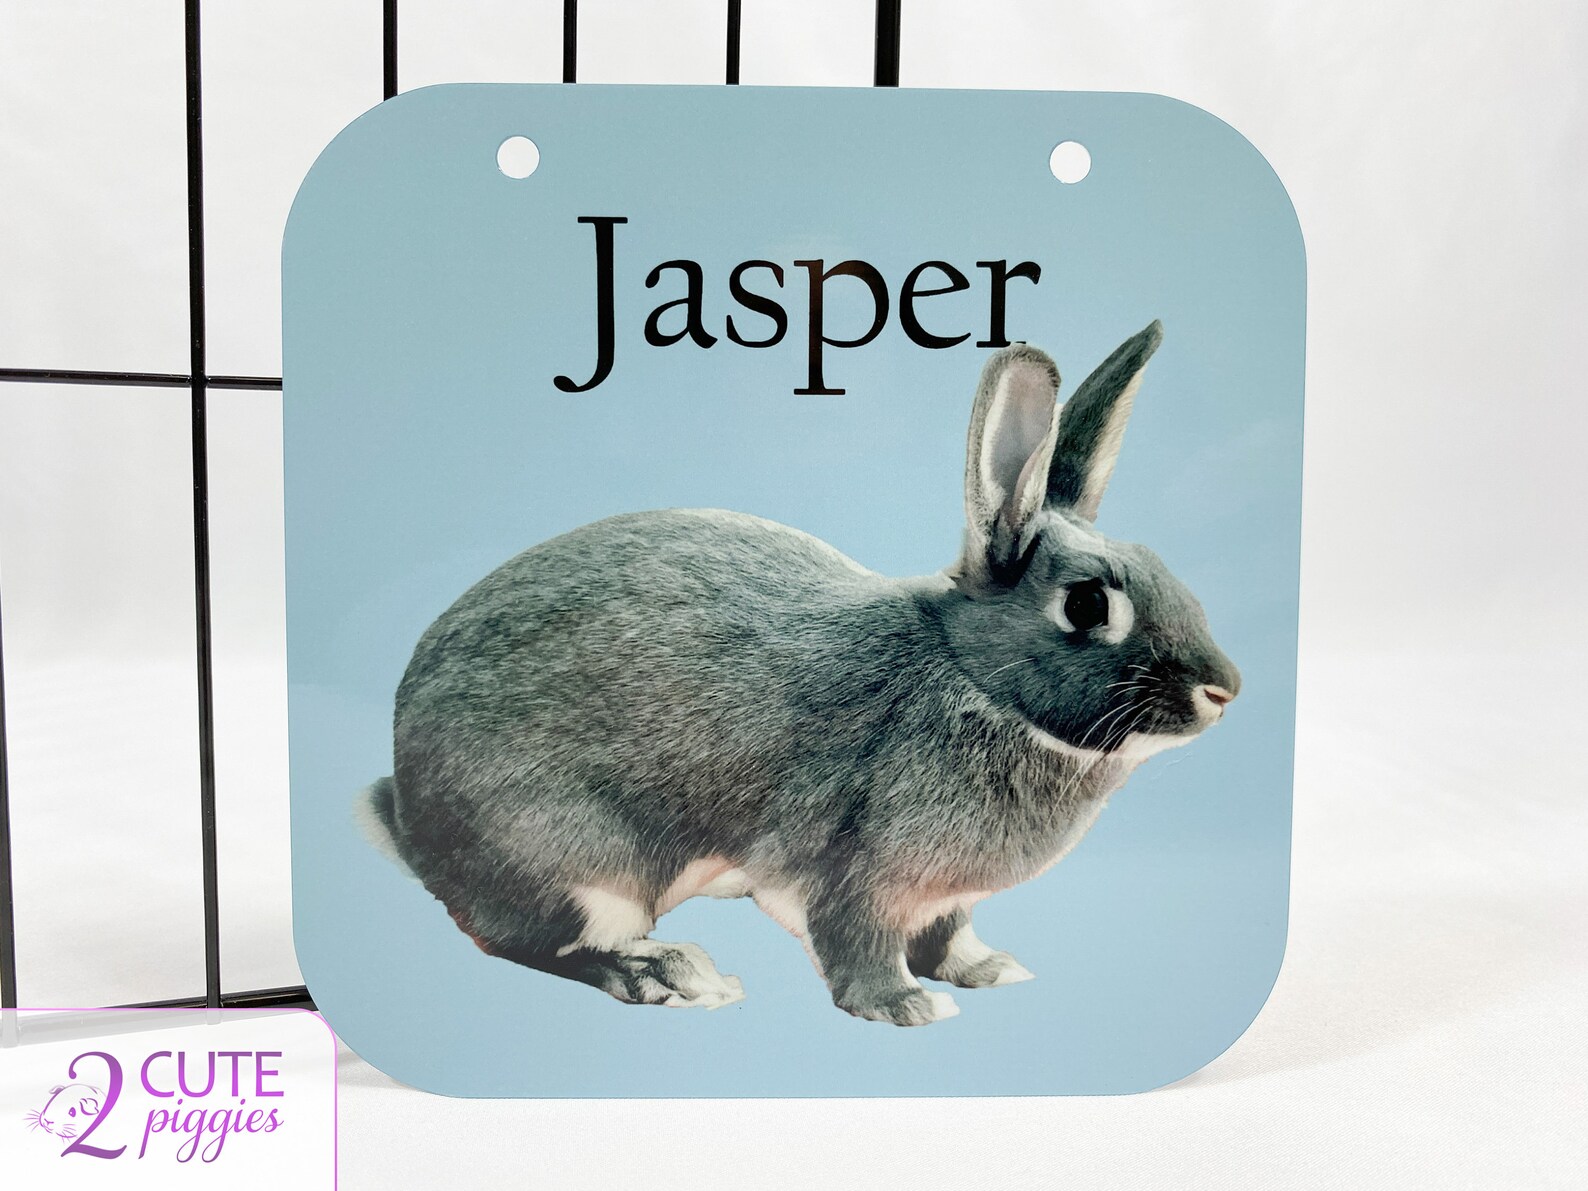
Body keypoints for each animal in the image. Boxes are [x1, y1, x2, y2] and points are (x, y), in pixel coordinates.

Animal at [357, 320, 1240, 1026]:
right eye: (1088, 603)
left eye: (1165, 568)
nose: (1223, 690)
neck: (971, 677)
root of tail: (411, 818)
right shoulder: (854, 867)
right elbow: (857, 941)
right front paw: (906, 1006)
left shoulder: (945, 899)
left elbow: (949, 932)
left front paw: (988, 969)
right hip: (585, 862)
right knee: (535, 942)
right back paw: (672, 971)